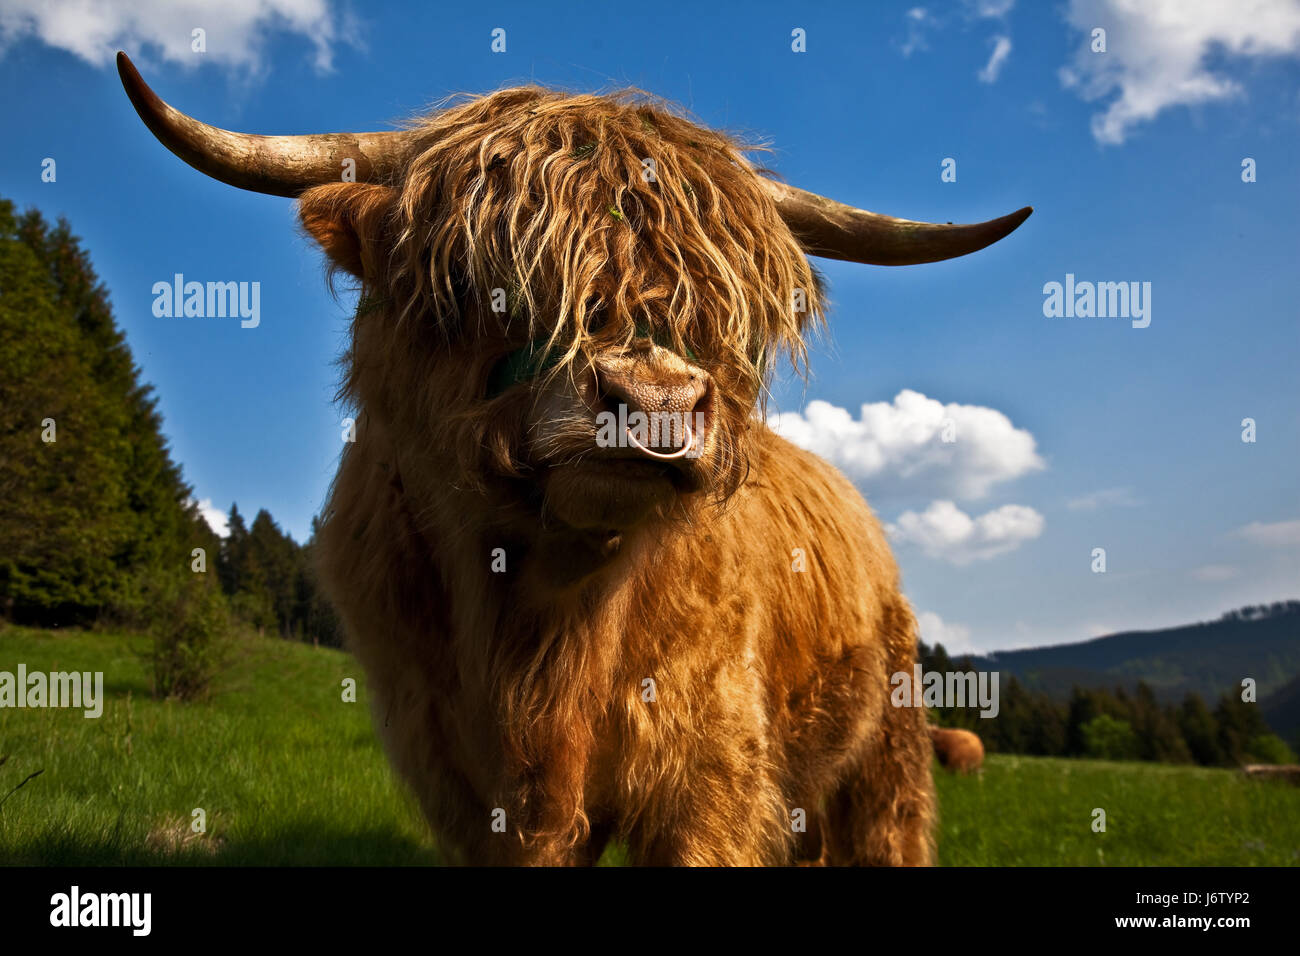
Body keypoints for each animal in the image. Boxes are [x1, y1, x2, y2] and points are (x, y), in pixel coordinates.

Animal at [117, 52, 1029, 865]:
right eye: (480, 281)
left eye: (717, 309)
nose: (657, 401)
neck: (542, 628)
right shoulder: (459, 779)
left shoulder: (713, 777)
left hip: (889, 747)